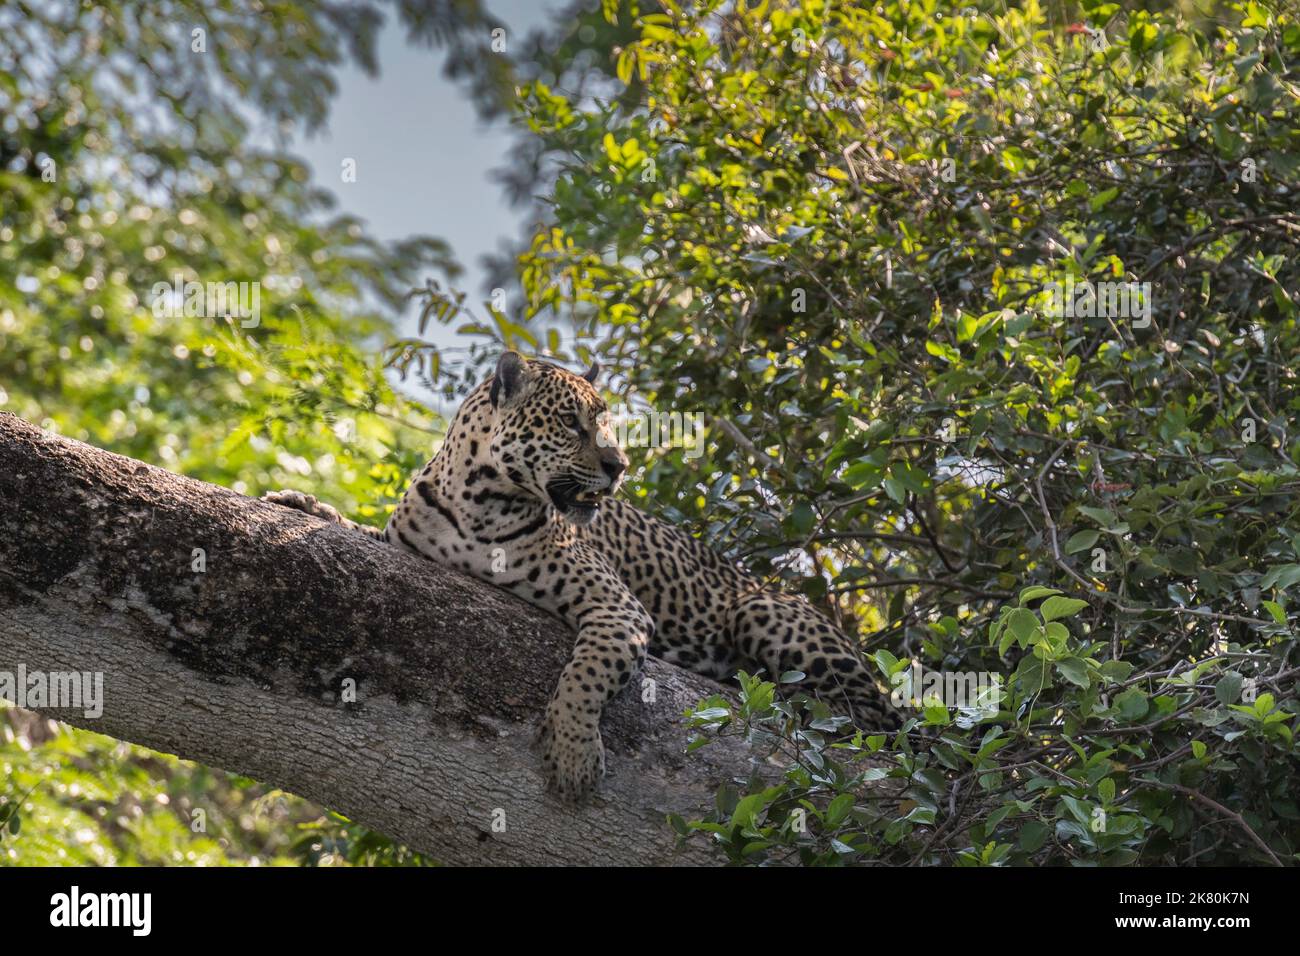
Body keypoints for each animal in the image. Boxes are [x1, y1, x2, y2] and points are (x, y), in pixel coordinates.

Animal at [264, 351, 897, 800]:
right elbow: (360, 530)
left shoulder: (617, 607)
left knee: (881, 725)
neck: (478, 501)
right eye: (571, 423)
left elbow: (585, 676)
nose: (621, 466)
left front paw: (572, 756)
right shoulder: (407, 549)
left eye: (609, 426)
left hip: (762, 612)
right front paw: (304, 504)